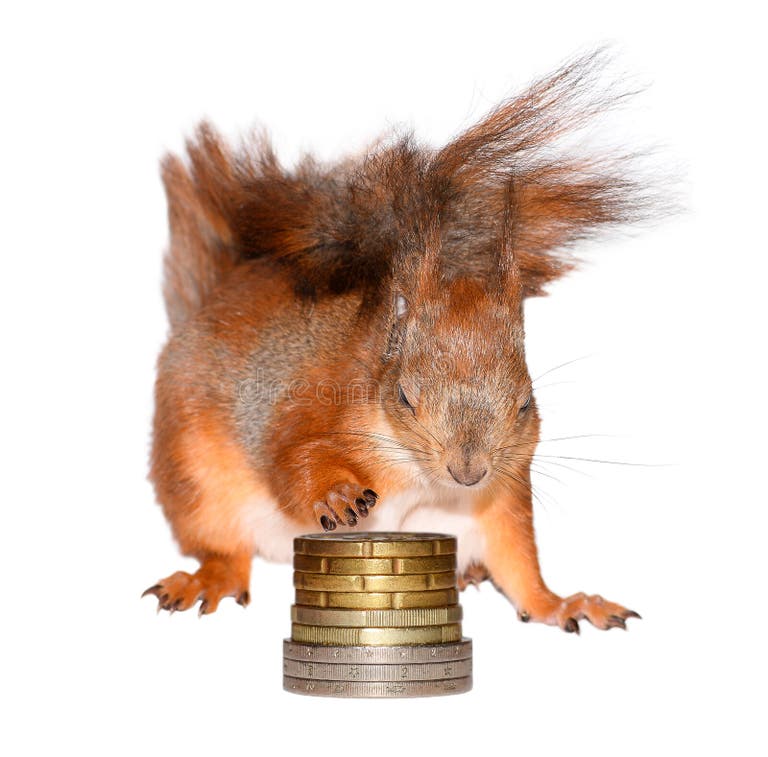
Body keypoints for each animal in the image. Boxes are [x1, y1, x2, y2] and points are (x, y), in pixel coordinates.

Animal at [144, 51, 655, 632]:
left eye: (525, 404)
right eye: (405, 396)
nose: (468, 471)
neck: (415, 473)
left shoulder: (502, 493)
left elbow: (520, 566)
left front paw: (564, 603)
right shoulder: (309, 401)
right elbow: (291, 457)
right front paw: (337, 493)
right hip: (196, 481)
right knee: (223, 549)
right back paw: (209, 577)